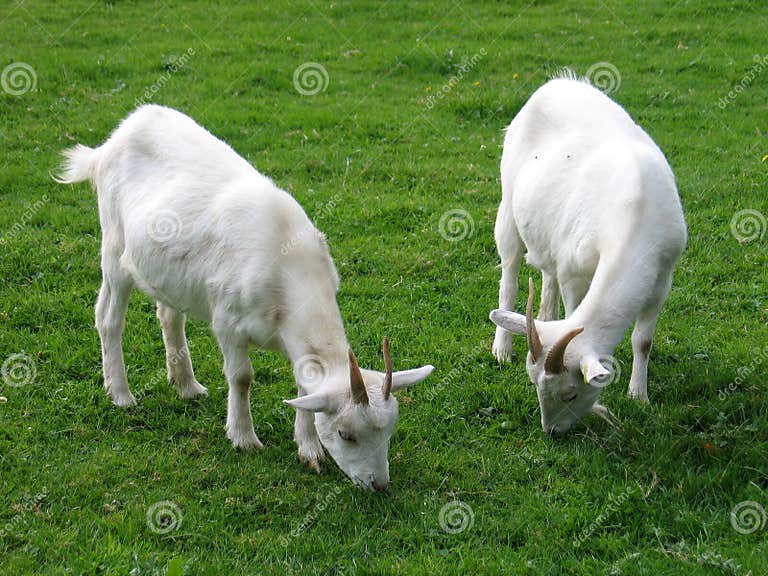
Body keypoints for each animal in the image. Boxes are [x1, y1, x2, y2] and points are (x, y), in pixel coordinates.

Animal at [56, 105, 434, 490]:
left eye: (388, 431)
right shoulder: (227, 321)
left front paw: (309, 449)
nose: (379, 485)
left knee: (169, 315)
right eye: (346, 434)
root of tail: (112, 141)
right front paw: (243, 438)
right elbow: (241, 377)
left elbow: (303, 388)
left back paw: (186, 385)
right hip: (114, 247)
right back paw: (120, 394)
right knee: (108, 318)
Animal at [489, 76, 687, 435]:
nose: (551, 432)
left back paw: (543, 317)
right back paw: (502, 348)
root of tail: (555, 82)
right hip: (507, 207)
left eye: (570, 393)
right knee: (509, 273)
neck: (634, 212)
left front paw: (638, 395)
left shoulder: (663, 277)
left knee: (547, 276)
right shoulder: (575, 274)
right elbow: (573, 310)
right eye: (534, 385)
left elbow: (643, 341)